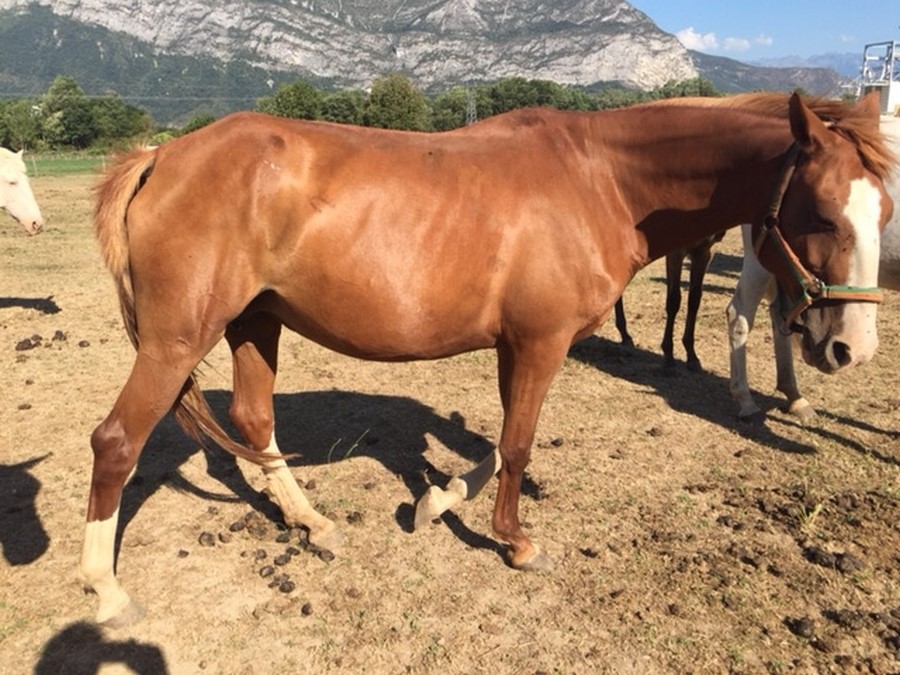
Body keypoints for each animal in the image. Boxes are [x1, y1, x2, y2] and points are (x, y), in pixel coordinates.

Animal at [613, 230, 725, 371]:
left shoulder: (703, 252)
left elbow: (694, 300)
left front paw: (692, 356)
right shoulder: (676, 252)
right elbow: (674, 300)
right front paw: (669, 354)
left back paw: (624, 334)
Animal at [728, 115, 900, 420]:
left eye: (887, 215)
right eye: (822, 219)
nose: (858, 348)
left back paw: (794, 396)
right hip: (761, 263)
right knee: (740, 314)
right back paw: (746, 400)